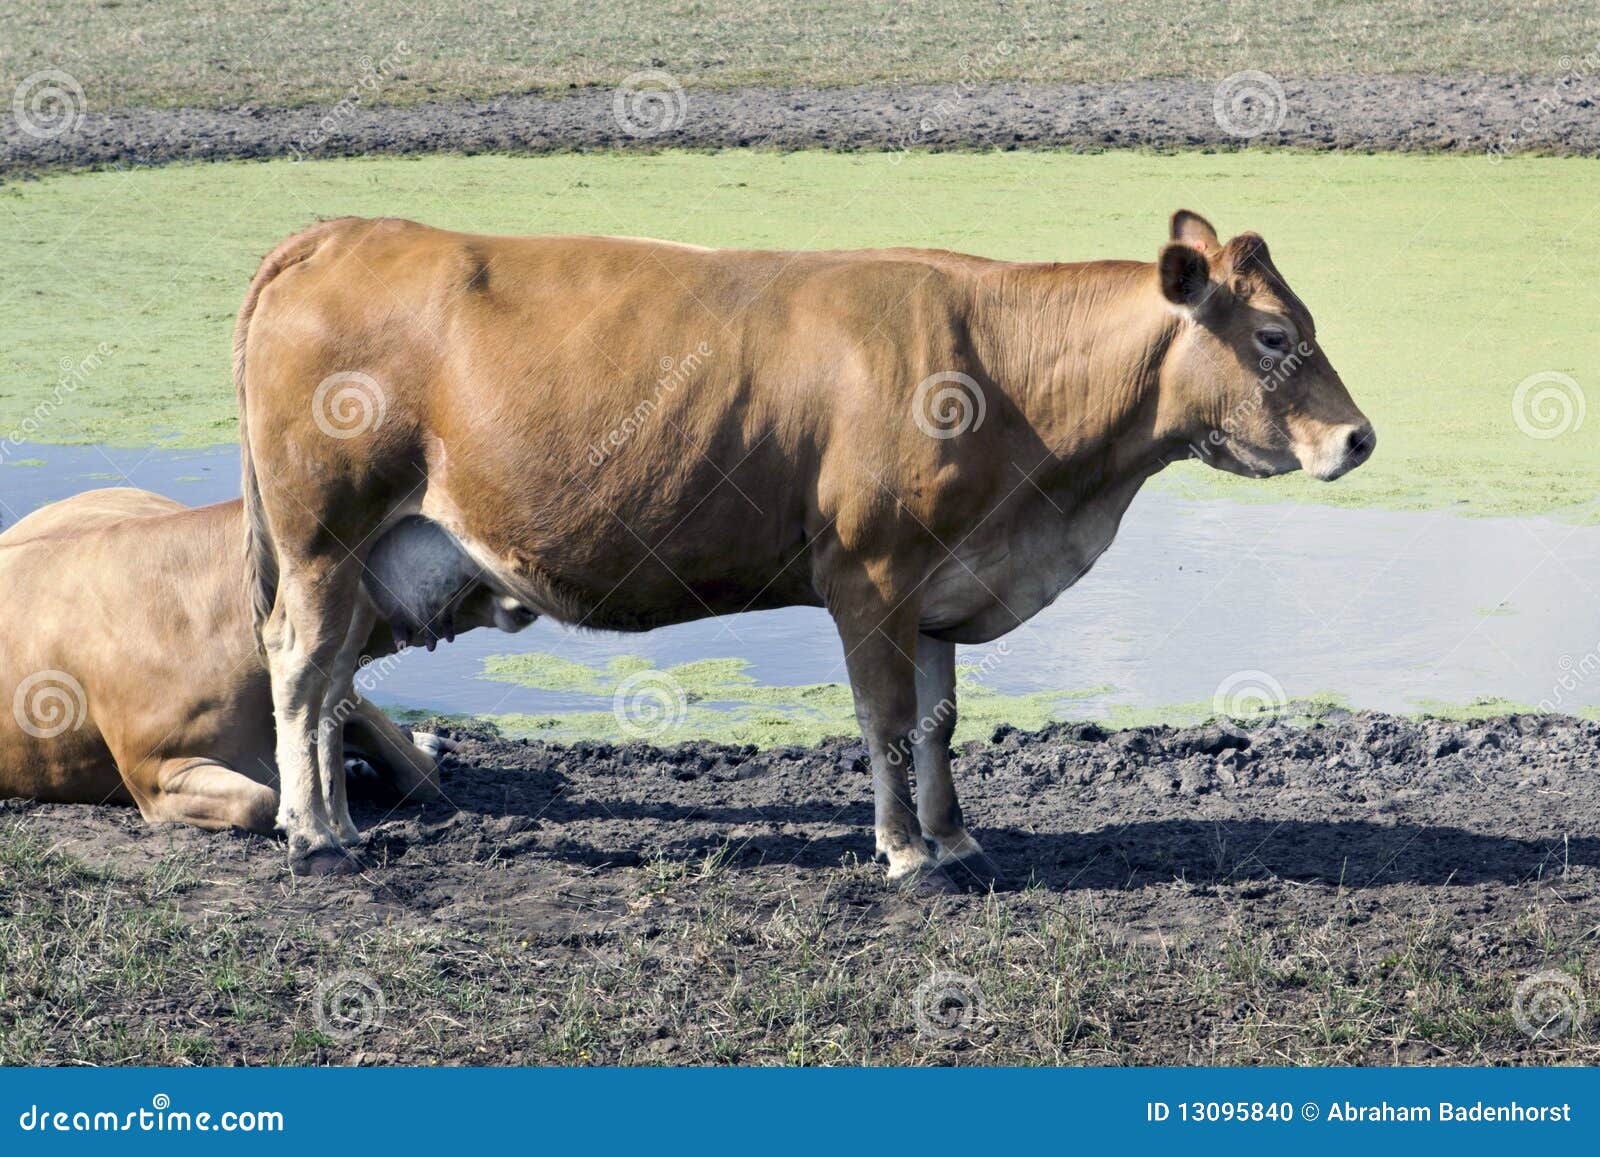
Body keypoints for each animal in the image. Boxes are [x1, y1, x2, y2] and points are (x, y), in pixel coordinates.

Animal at [235, 209, 1374, 887]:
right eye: (1275, 337)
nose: (1359, 437)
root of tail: (346, 230)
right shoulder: (869, 573)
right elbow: (886, 719)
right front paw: (906, 850)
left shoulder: (939, 586)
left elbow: (940, 723)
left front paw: (955, 834)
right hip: (321, 535)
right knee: (298, 664)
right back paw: (314, 830)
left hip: (370, 556)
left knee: (333, 679)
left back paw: (340, 819)